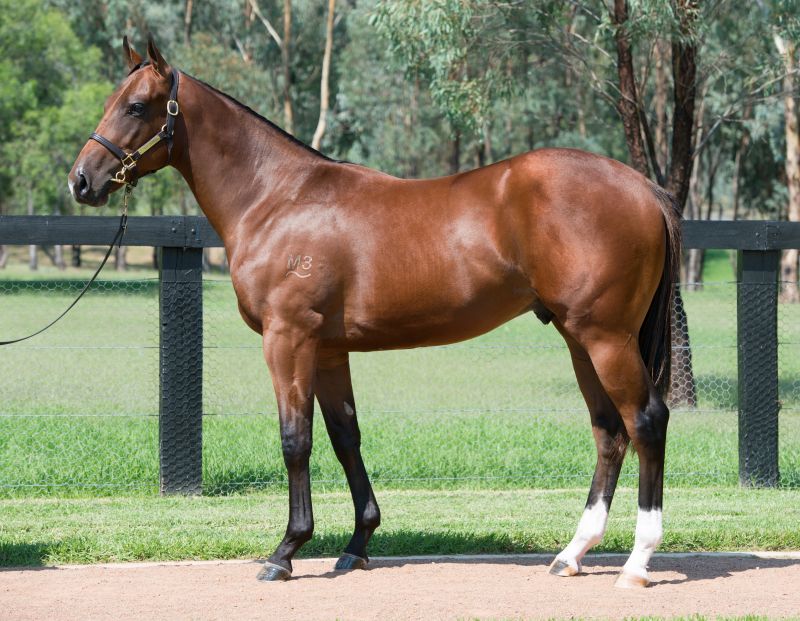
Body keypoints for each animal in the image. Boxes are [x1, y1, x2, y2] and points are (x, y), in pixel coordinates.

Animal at [69, 37, 681, 588]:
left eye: (136, 106)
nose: (81, 180)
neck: (278, 199)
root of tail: (643, 187)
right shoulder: (328, 350)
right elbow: (346, 439)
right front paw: (357, 544)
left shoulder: (288, 339)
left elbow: (296, 440)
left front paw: (285, 551)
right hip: (579, 339)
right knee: (609, 431)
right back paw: (571, 554)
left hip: (605, 337)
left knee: (646, 421)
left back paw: (637, 563)